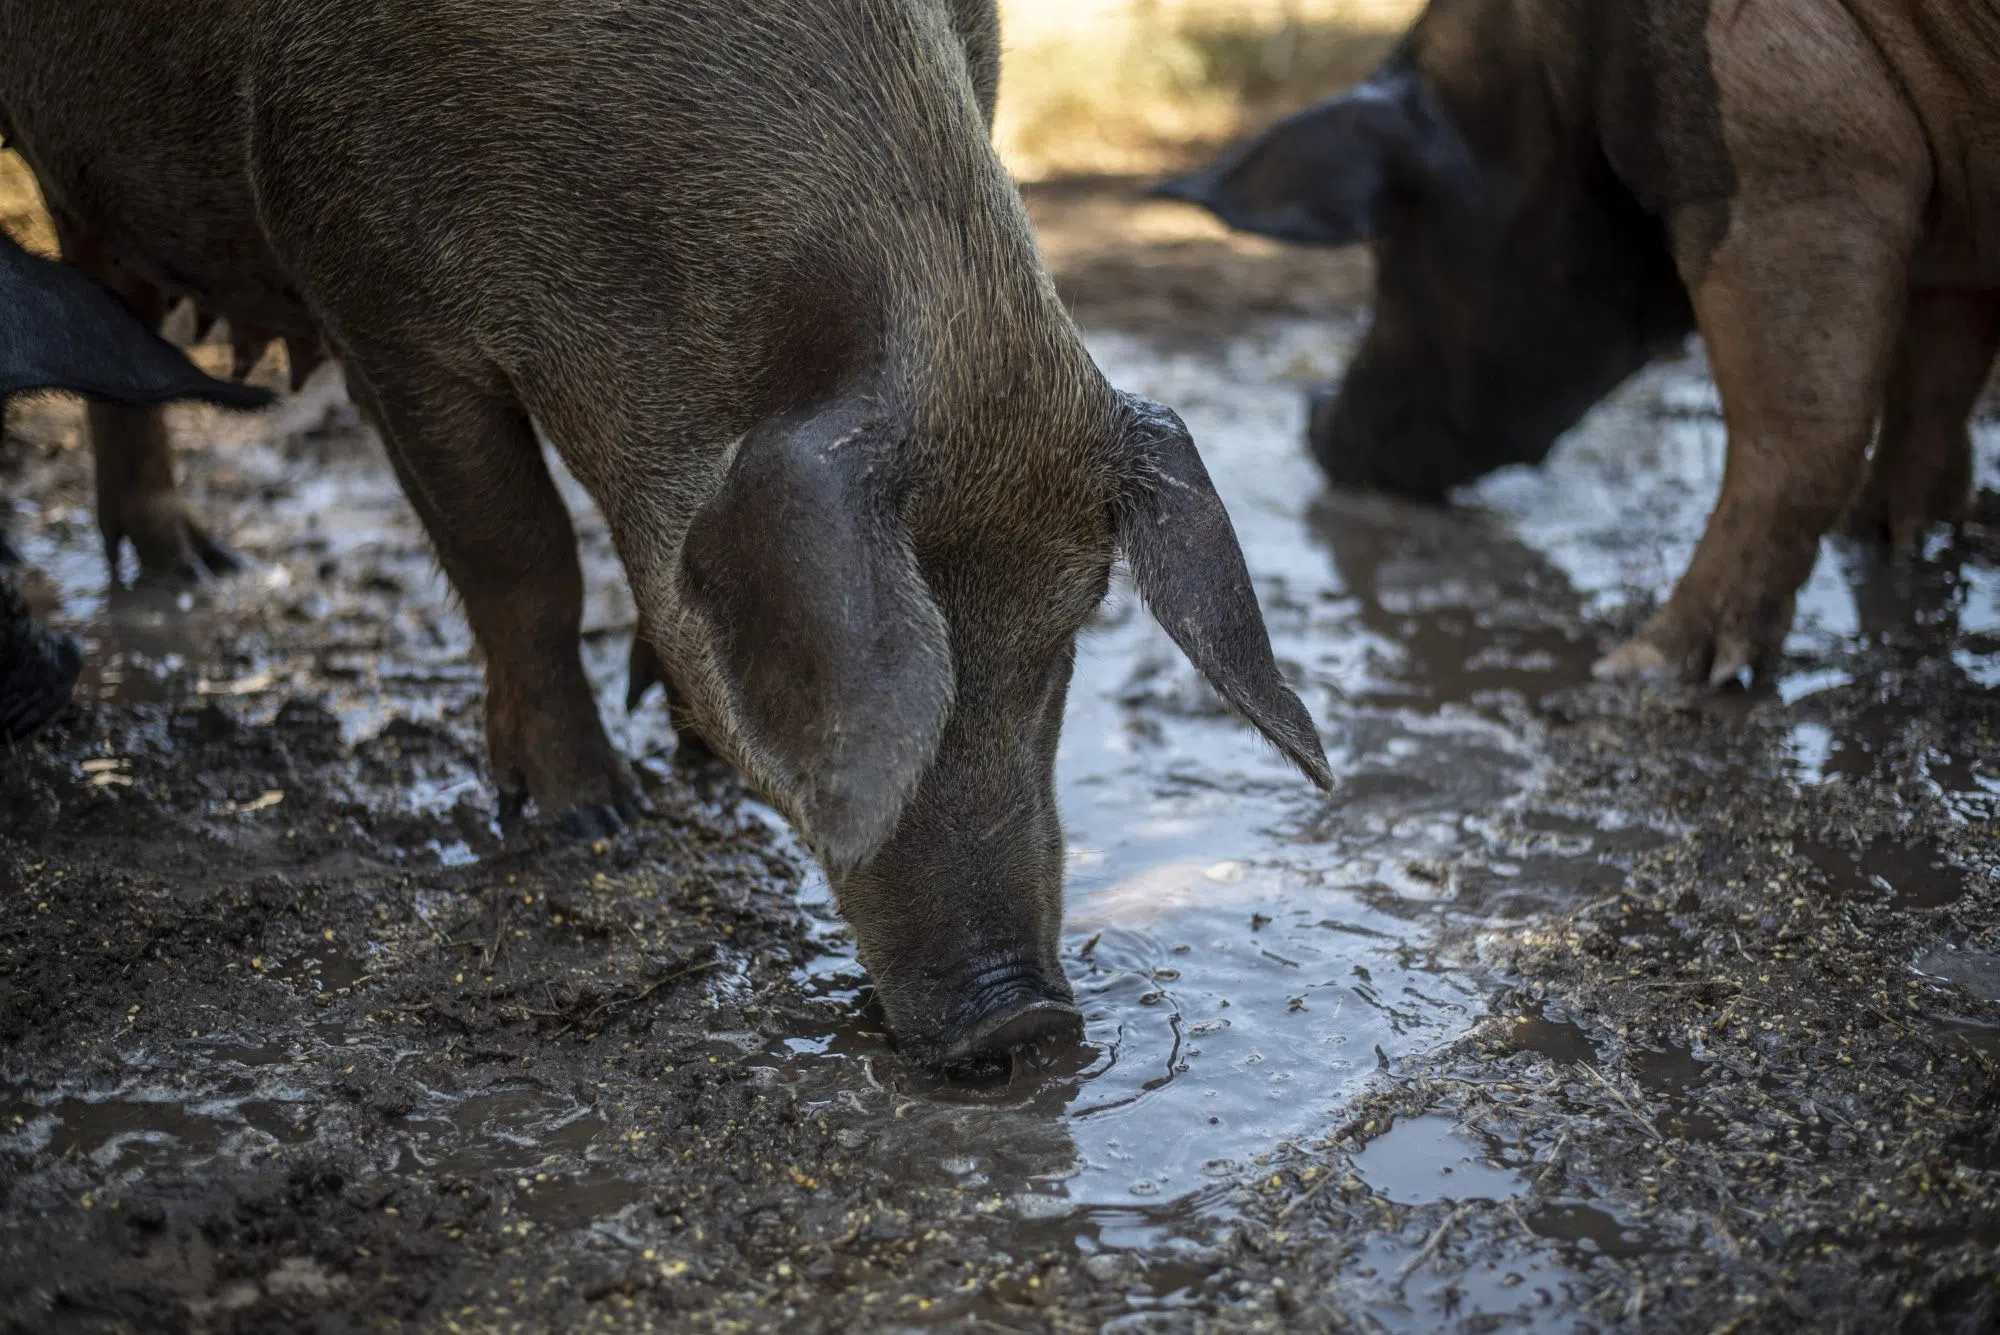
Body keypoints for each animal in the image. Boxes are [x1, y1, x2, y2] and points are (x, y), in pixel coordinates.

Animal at [1160, 0, 2000, 686]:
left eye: (1390, 249)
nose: (1319, 426)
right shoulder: (1947, 228)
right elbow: (1935, 380)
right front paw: (1885, 539)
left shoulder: (1789, 150)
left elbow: (1798, 430)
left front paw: (1642, 668)